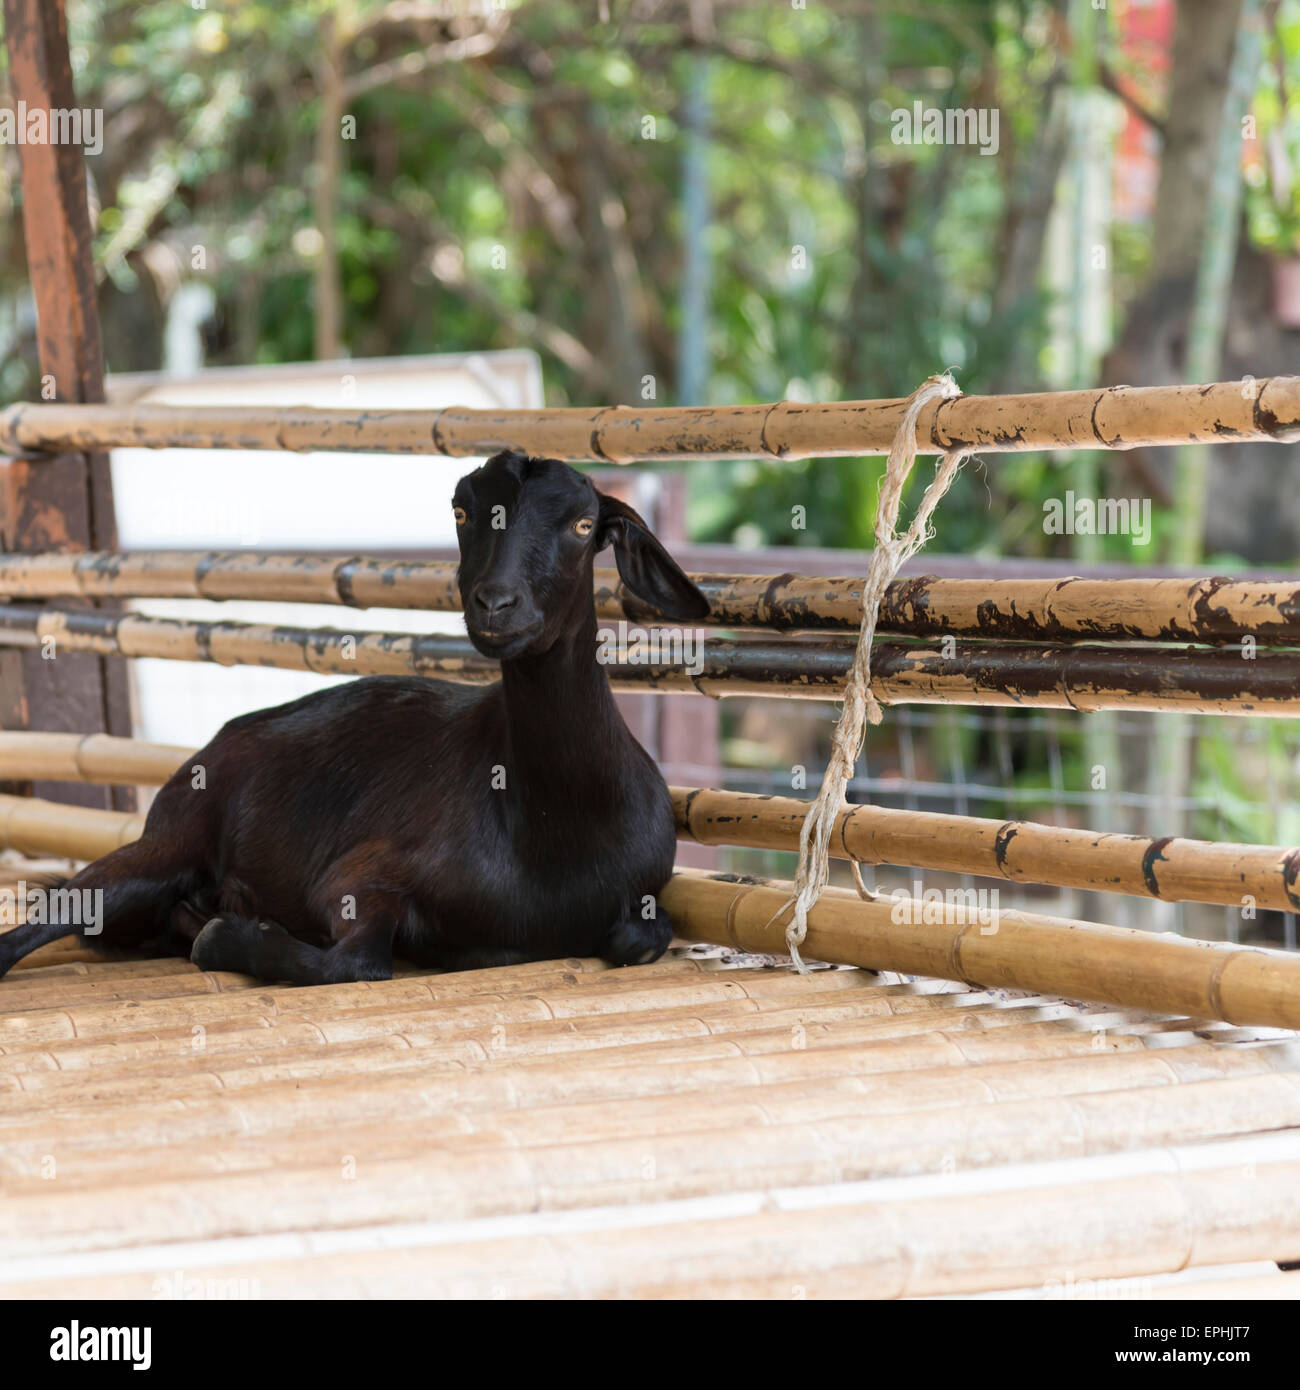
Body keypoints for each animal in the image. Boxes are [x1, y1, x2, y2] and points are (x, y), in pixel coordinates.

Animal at [0, 451, 709, 986]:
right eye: (461, 512)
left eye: (585, 526)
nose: (495, 605)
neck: (551, 822)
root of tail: (210, 749)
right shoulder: (359, 875)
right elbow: (358, 960)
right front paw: (227, 938)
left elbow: (642, 938)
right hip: (170, 838)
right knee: (58, 911)